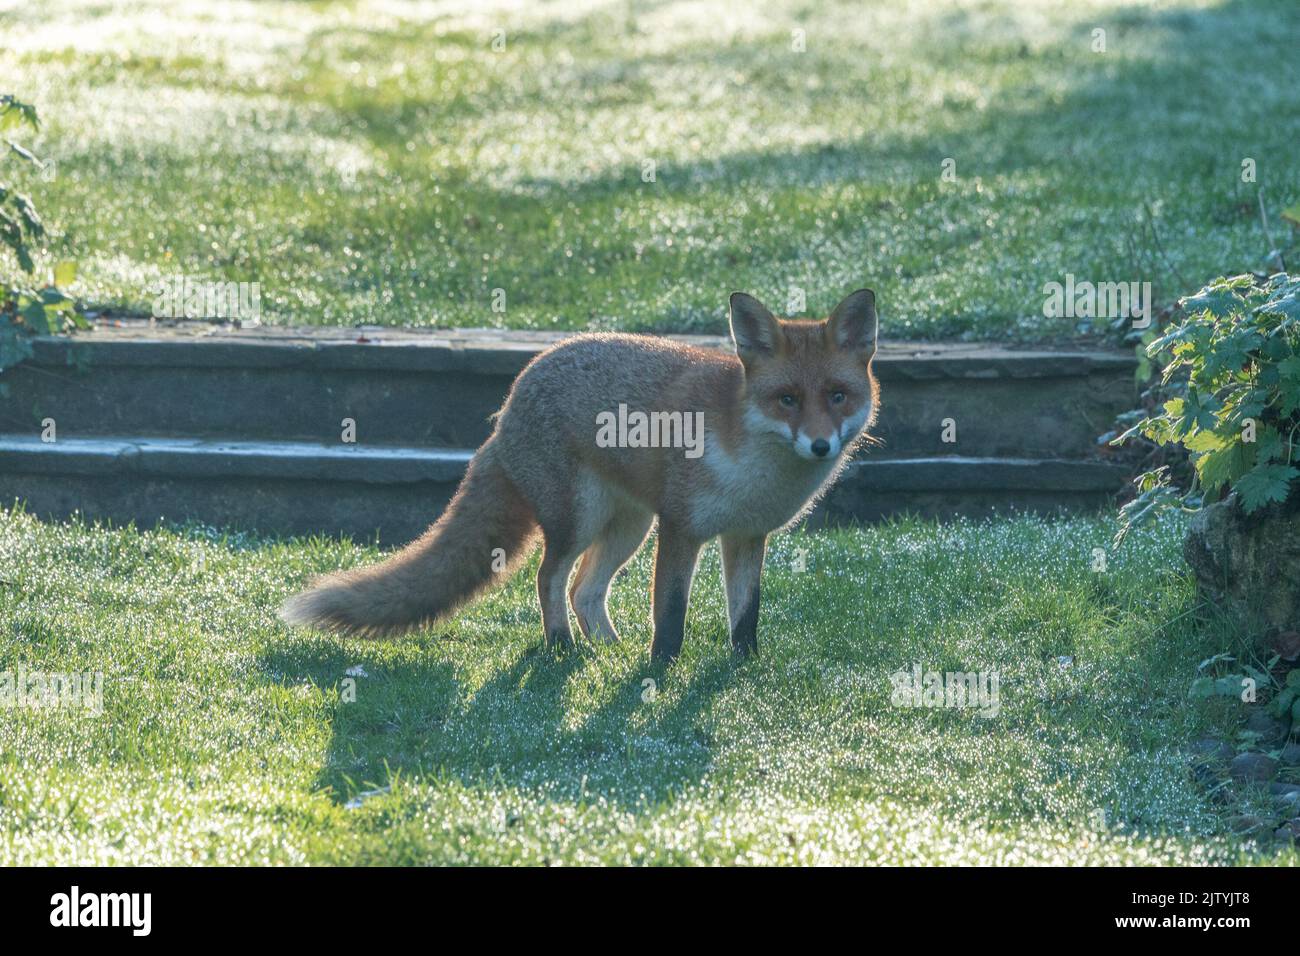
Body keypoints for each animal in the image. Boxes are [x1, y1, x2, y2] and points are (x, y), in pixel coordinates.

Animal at [280, 288, 880, 661]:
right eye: (787, 399)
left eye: (837, 396)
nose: (821, 445)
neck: (749, 459)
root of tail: (508, 405)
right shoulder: (682, 528)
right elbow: (670, 615)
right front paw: (659, 671)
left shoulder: (746, 536)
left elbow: (745, 616)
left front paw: (742, 667)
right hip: (580, 520)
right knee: (551, 580)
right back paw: (562, 648)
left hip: (627, 527)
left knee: (584, 591)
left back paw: (608, 651)